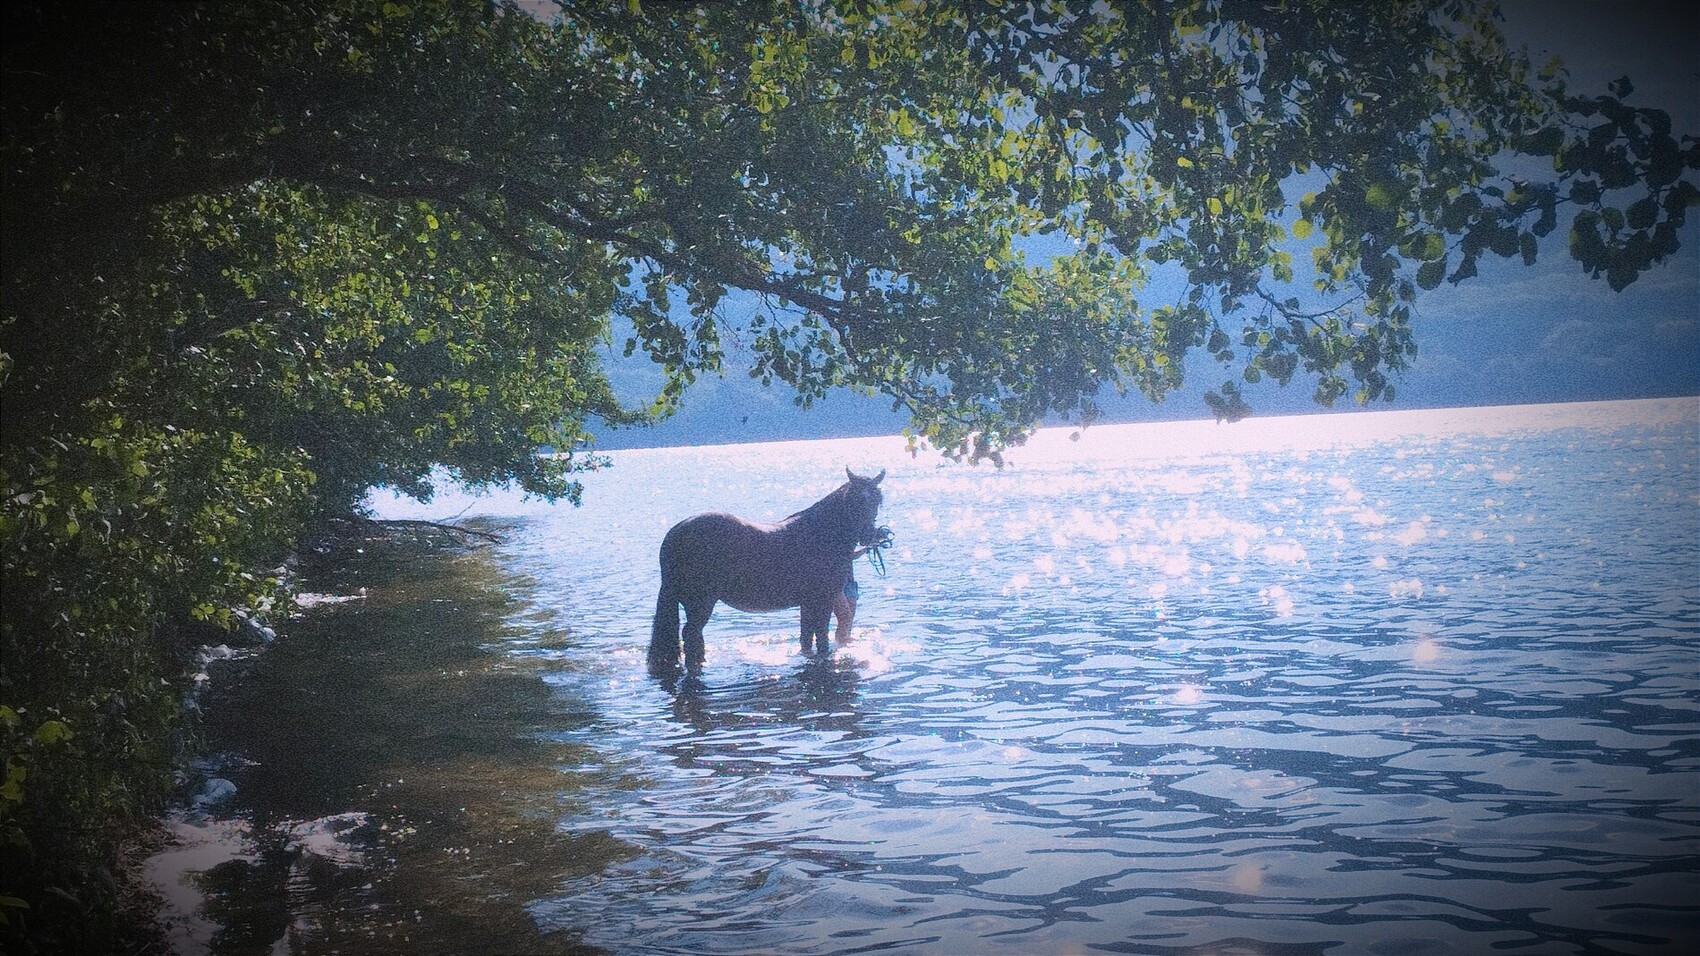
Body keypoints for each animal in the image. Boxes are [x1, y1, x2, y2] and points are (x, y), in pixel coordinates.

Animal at [649, 468, 886, 672]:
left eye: (877, 499)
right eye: (854, 499)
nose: (869, 535)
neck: (818, 534)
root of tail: (676, 533)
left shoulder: (808, 603)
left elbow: (806, 638)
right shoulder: (823, 600)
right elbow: (821, 637)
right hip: (701, 603)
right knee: (691, 635)